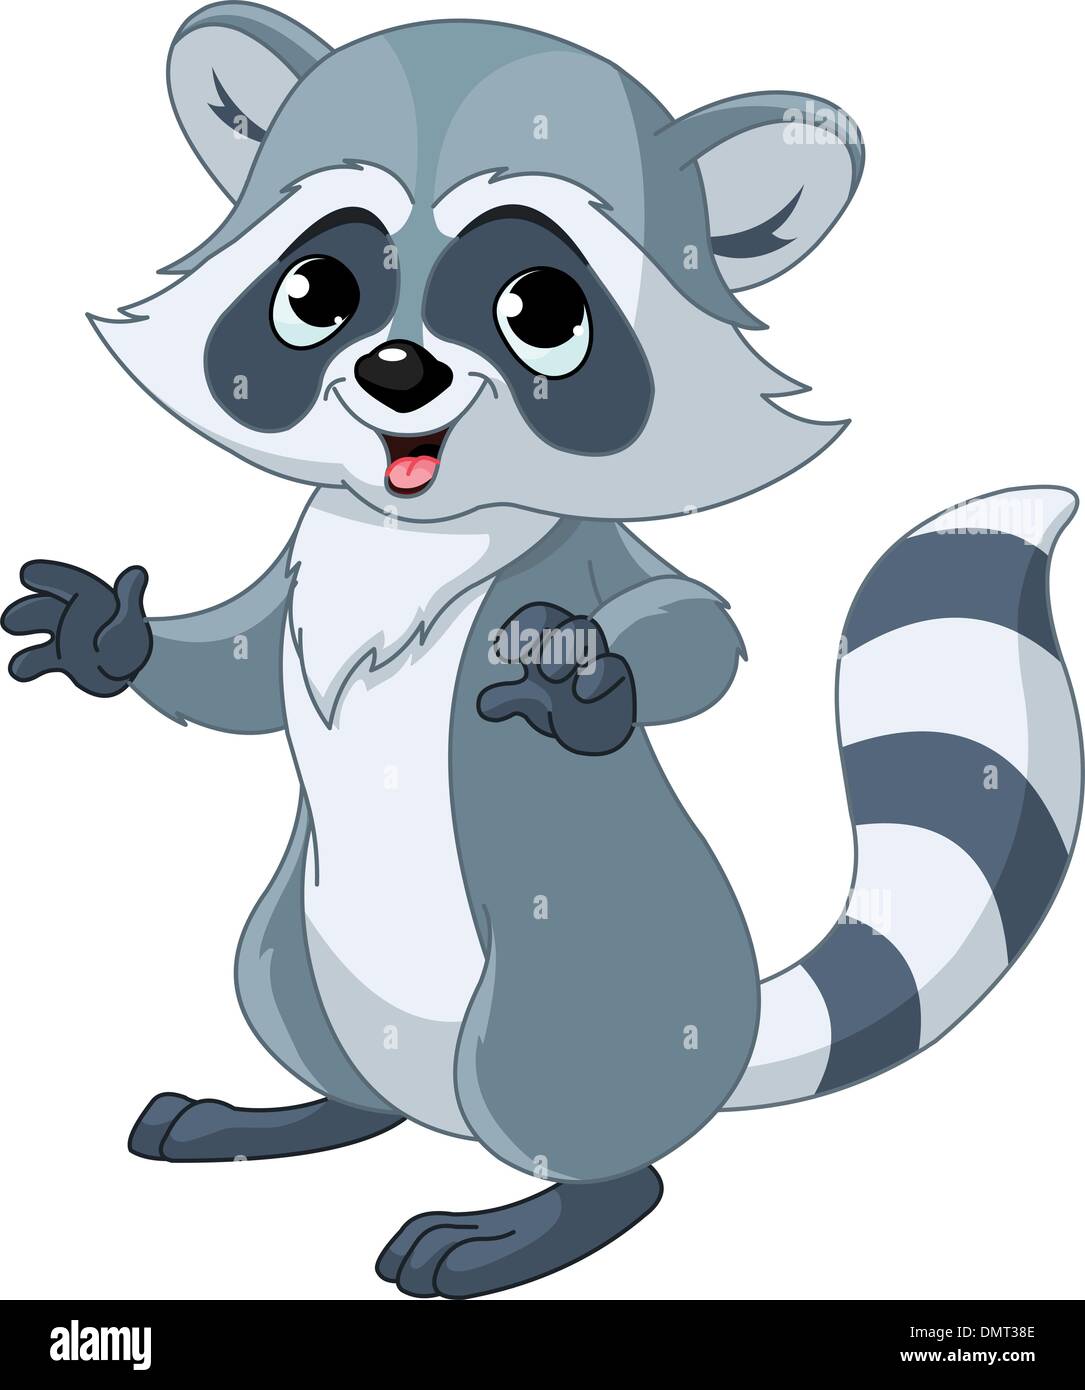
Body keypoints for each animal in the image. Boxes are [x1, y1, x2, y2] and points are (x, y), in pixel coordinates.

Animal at [4, 6, 1081, 1299]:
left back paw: (534, 1219)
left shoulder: (585, 558)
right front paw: (108, 636)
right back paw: (299, 1113)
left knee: (592, 1132)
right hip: (290, 952)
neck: (413, 526)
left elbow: (686, 628)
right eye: (317, 290)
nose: (398, 372)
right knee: (317, 1035)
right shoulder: (302, 557)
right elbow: (243, 672)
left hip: (563, 993)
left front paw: (590, 696)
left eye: (541, 311)